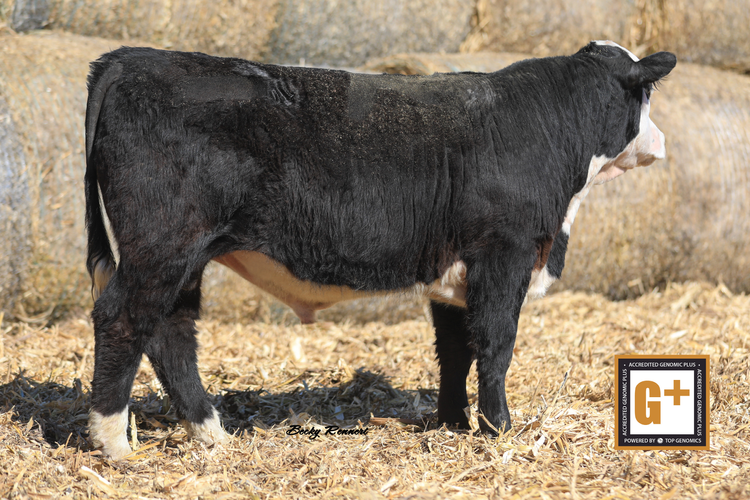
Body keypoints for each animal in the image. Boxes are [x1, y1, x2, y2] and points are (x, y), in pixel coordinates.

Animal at [84, 41, 676, 458]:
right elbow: (496, 344)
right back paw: (113, 441)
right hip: (162, 246)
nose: (663, 142)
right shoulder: (503, 254)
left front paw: (453, 422)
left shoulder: (455, 273)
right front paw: (499, 428)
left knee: (171, 333)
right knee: (122, 319)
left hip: (182, 258)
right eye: (646, 95)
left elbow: (455, 350)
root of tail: (130, 58)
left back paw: (211, 435)